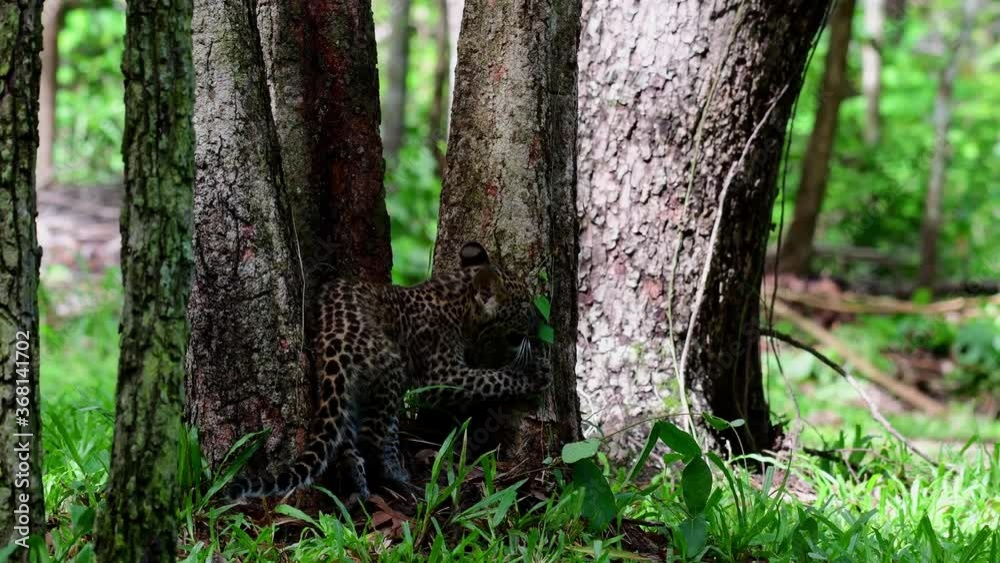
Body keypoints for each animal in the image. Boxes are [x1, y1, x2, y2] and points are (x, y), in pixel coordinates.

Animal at [226, 242, 550, 502]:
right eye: (524, 303)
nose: (538, 321)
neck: (458, 303)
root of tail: (335, 335)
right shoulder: (442, 376)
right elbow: (491, 379)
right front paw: (533, 375)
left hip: (348, 388)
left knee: (348, 438)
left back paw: (360, 486)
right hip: (390, 372)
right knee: (373, 436)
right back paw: (394, 482)